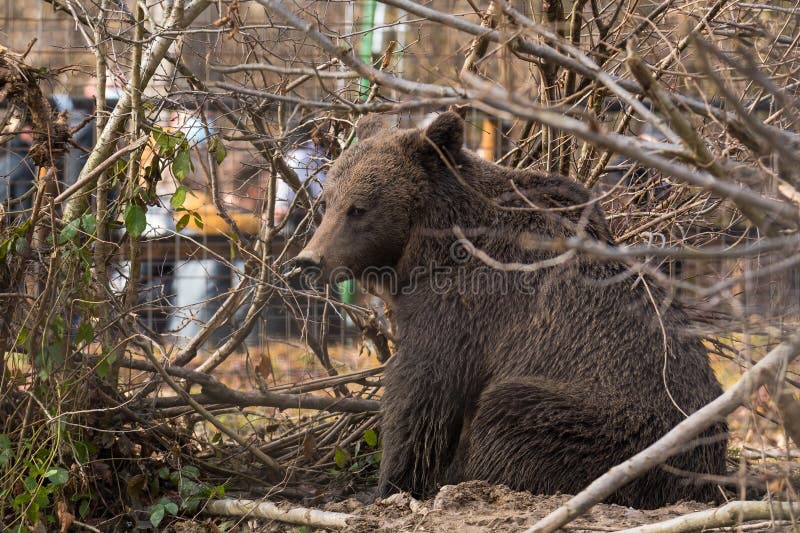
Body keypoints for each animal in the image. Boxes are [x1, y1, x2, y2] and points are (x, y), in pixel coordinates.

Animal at [292, 111, 728, 508]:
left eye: (359, 208)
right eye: (326, 201)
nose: (309, 259)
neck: (433, 246)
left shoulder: (462, 310)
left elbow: (420, 392)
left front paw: (388, 487)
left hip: (603, 422)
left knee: (510, 412)